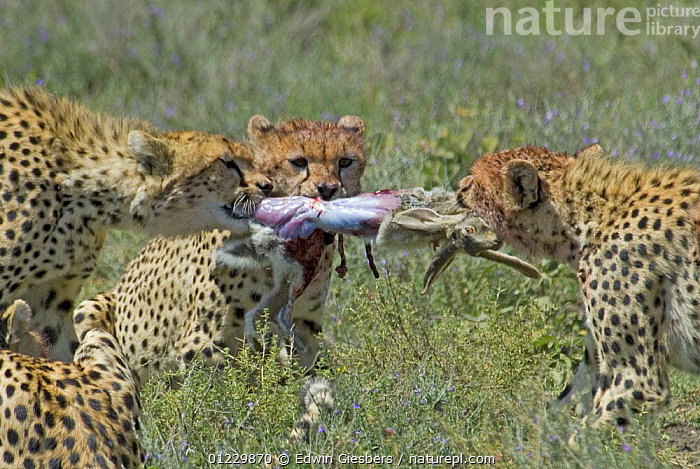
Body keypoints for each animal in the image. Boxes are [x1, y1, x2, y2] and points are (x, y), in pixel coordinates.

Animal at [73, 114, 367, 385]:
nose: (327, 189)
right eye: (298, 162)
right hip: (87, 310)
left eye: (345, 162)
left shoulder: (303, 325)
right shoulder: (202, 345)